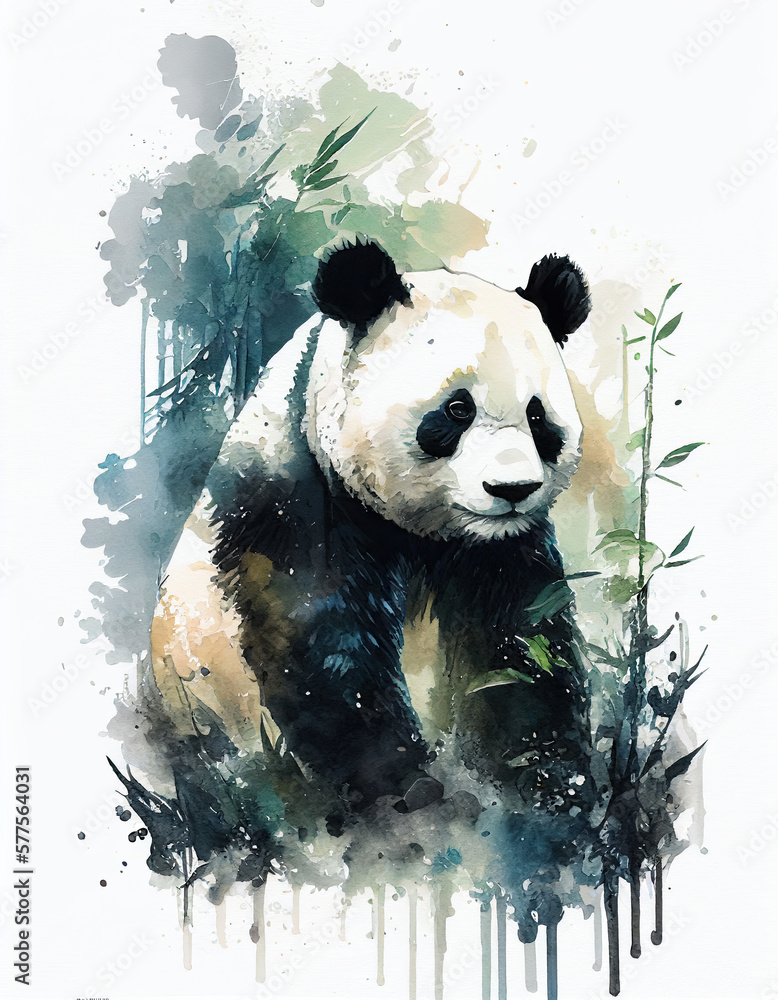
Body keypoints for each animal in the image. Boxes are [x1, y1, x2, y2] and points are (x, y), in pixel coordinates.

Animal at [150, 240, 593, 825]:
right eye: (457, 410)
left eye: (539, 418)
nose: (512, 488)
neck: (423, 530)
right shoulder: (298, 501)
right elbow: (321, 644)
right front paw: (401, 789)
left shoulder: (500, 548)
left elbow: (517, 643)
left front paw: (547, 777)